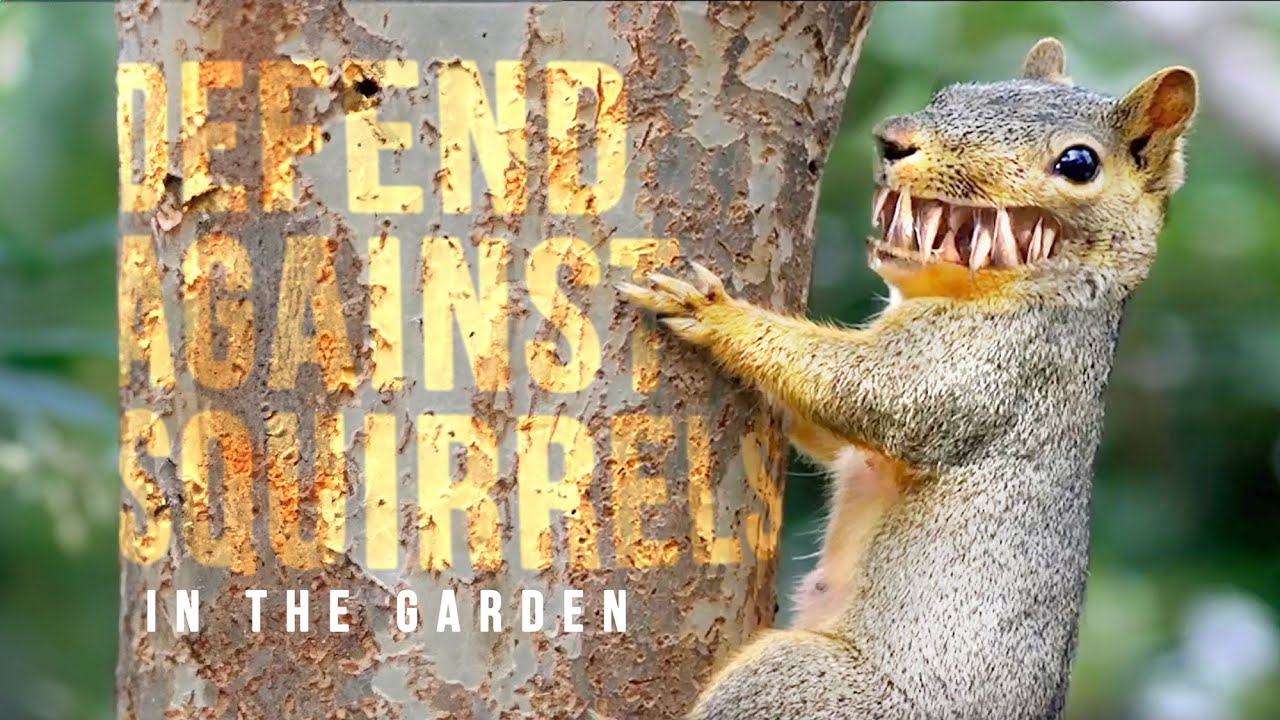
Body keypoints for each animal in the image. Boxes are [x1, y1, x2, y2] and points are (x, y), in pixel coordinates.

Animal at [618, 37, 1197, 719]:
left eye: (1079, 163)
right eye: (952, 94)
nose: (894, 141)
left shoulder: (995, 367)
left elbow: (879, 393)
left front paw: (717, 315)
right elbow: (835, 434)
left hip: (794, 682)